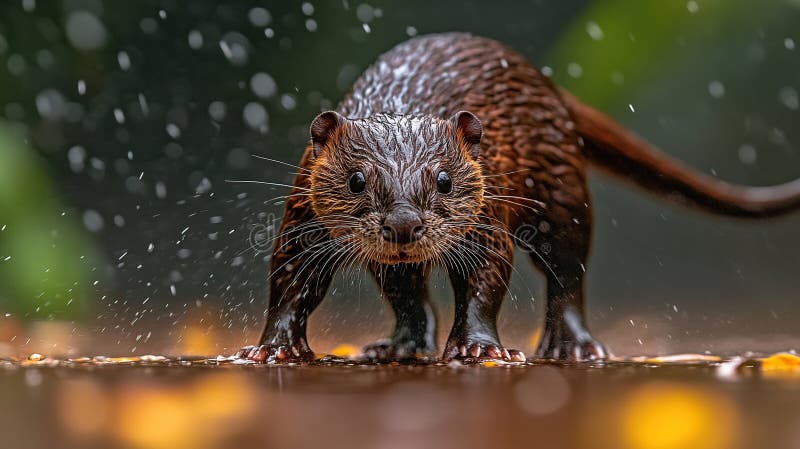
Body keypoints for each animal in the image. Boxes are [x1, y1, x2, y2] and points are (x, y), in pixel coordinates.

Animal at [237, 33, 800, 363]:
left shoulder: (489, 219)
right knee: (405, 289)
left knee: (568, 272)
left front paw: (479, 350)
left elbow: (485, 282)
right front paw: (273, 349)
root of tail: (546, 82)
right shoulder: (302, 216)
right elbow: (289, 281)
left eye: (444, 180)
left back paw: (572, 347)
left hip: (562, 191)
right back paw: (395, 348)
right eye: (356, 180)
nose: (403, 223)